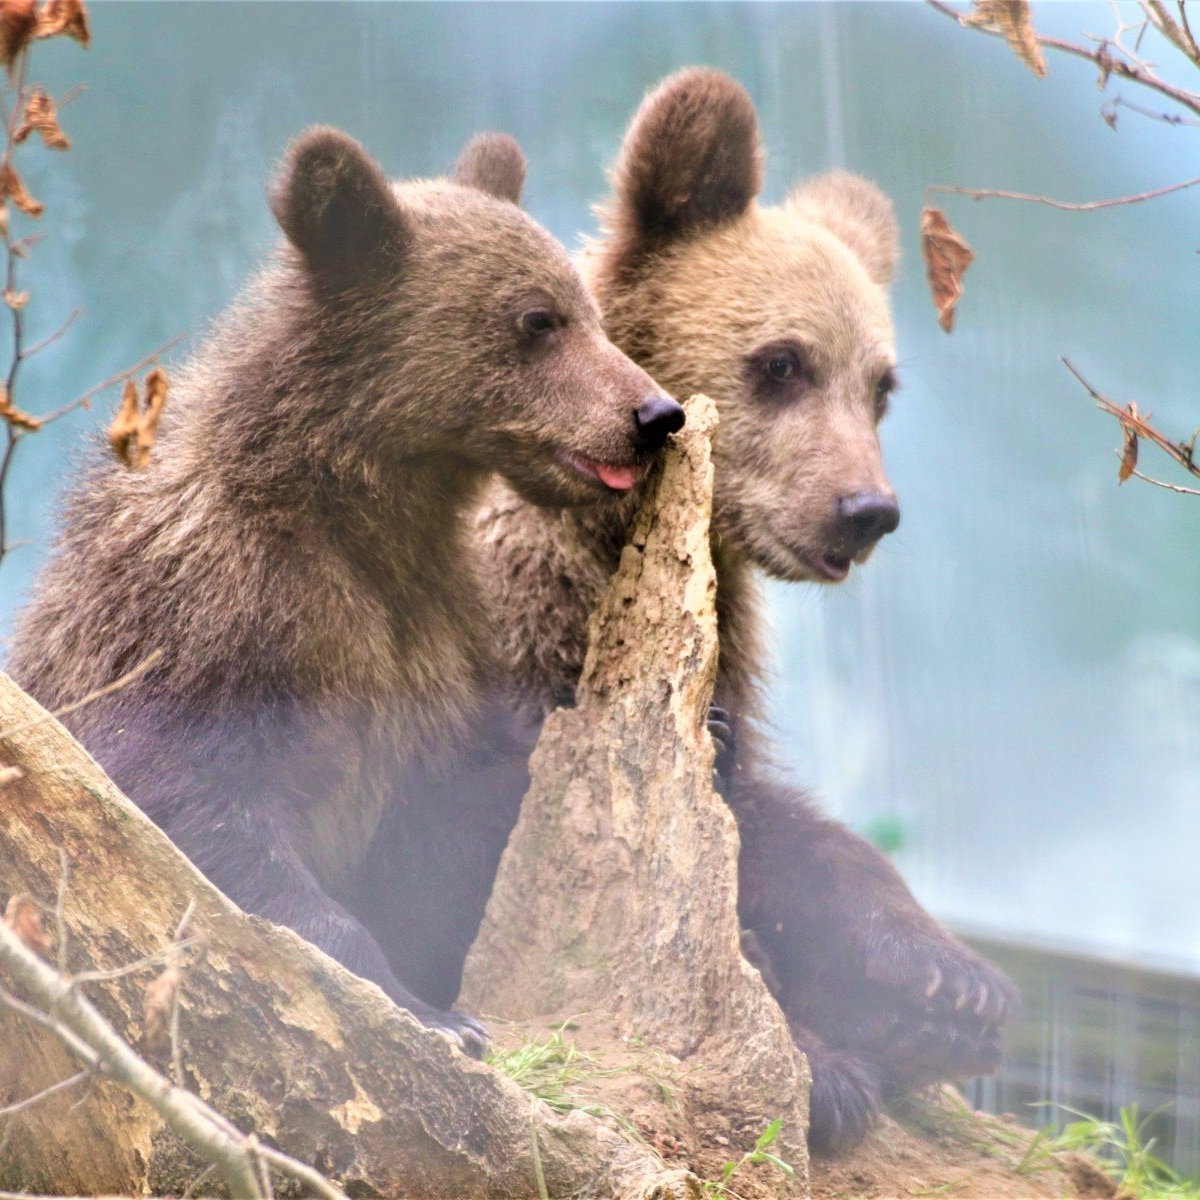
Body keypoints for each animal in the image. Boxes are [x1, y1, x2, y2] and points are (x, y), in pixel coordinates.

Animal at [6, 126, 682, 1054]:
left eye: (591, 312)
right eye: (537, 319)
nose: (655, 413)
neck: (361, 514)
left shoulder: (436, 642)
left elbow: (451, 820)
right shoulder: (207, 617)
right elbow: (205, 813)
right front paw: (436, 1015)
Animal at [350, 69, 1016, 1147]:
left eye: (879, 386)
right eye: (782, 361)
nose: (865, 510)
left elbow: (761, 820)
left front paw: (943, 986)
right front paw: (833, 1065)